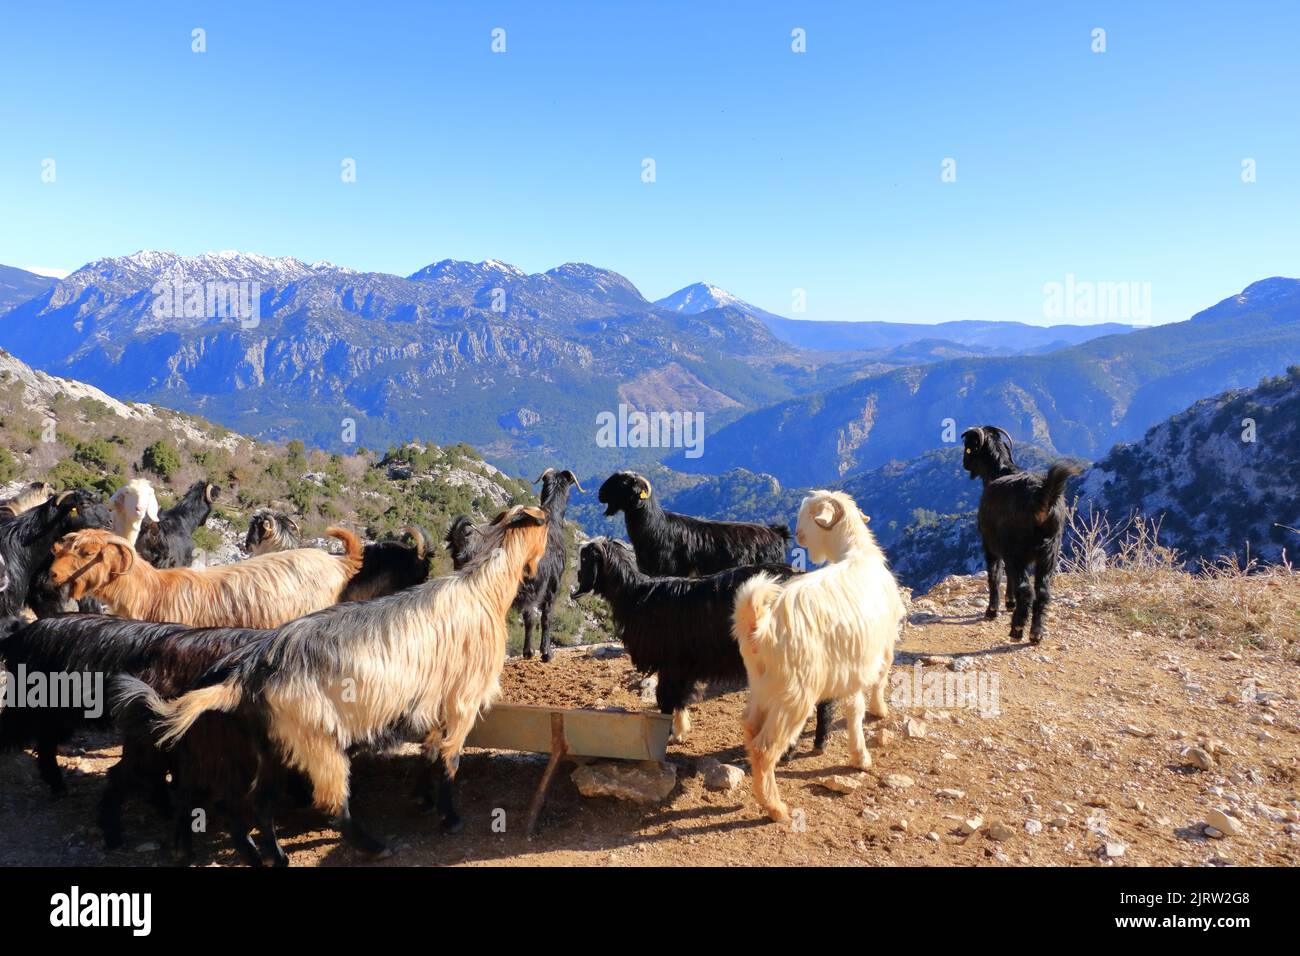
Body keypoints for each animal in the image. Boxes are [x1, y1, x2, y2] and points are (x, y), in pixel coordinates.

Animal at [118, 505, 550, 858]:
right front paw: (450, 817)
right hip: (317, 738)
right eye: (545, 525)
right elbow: (449, 758)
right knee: (329, 805)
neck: (483, 590)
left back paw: (271, 857)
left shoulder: (430, 704)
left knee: (257, 802)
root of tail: (246, 674)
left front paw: (423, 800)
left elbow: (429, 753)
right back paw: (373, 846)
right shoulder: (462, 700)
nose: (538, 568)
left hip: (274, 743)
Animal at [572, 537, 831, 750]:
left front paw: (670, 734)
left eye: (584, 557)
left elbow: (666, 697)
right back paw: (819, 740)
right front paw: (680, 730)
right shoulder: (682, 666)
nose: (576, 578)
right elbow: (679, 697)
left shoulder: (672, 663)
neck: (638, 597)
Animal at [733, 491, 905, 823]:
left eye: (809, 514)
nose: (798, 534)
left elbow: (853, 708)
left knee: (749, 726)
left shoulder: (851, 666)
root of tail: (760, 624)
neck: (856, 553)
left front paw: (859, 755)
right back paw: (776, 809)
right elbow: (878, 685)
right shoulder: (884, 646)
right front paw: (880, 714)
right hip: (795, 695)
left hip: (762, 685)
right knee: (764, 748)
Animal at [961, 426, 1083, 643]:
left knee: (1026, 590)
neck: (1000, 471)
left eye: (968, 447)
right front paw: (1010, 603)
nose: (964, 464)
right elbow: (1009, 576)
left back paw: (1017, 629)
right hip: (1049, 553)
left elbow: (995, 575)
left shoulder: (991, 545)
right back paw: (1036, 633)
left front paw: (992, 611)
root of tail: (1040, 497)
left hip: (1018, 551)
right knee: (1042, 591)